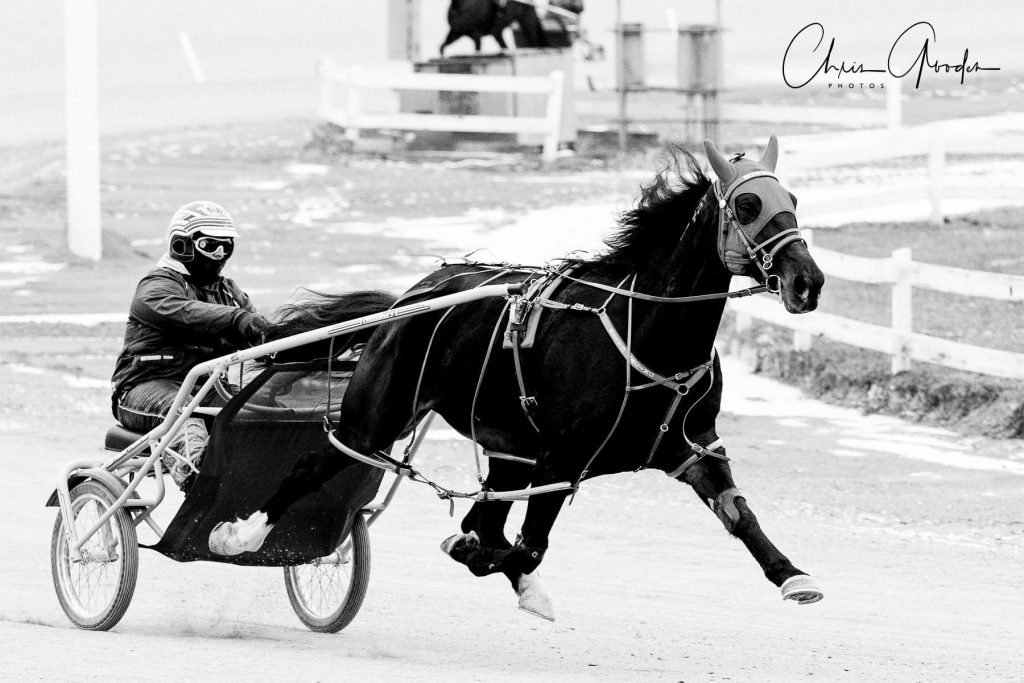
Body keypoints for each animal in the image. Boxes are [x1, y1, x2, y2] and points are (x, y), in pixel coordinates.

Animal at [209, 136, 826, 621]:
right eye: (747, 203)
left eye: (793, 200)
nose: (808, 281)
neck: (648, 335)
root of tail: (410, 297)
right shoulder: (561, 460)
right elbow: (525, 545)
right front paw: (472, 550)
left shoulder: (692, 446)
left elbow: (738, 513)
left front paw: (793, 576)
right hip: (377, 415)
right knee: (315, 465)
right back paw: (242, 533)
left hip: (508, 449)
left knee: (489, 513)